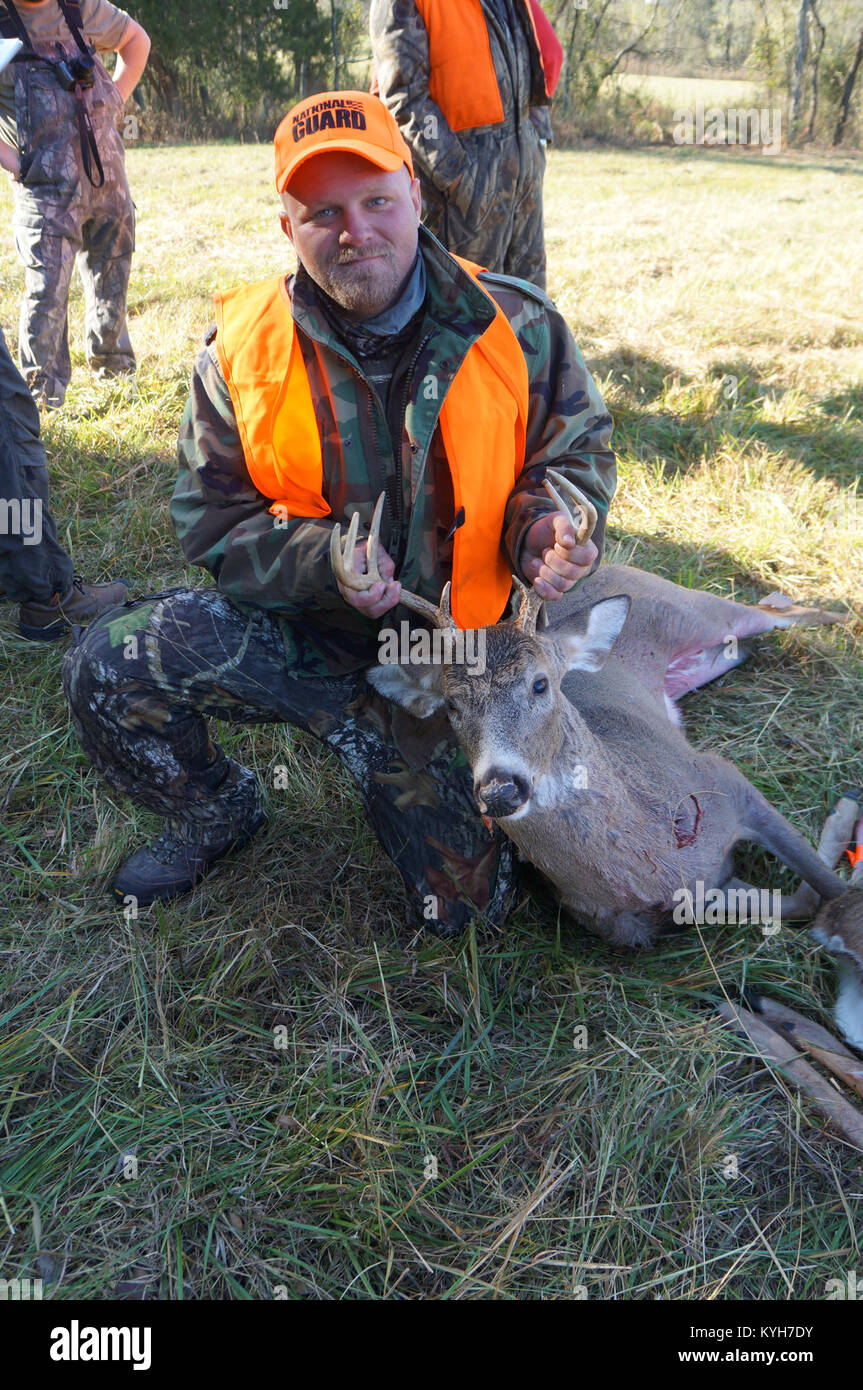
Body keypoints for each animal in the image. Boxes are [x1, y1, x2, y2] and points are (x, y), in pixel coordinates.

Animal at [330, 474, 863, 1046]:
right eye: (452, 705)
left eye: (541, 684)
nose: (500, 789)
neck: (656, 844)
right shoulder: (636, 918)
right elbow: (796, 902)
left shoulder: (724, 776)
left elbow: (830, 894)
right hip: (711, 652)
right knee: (763, 617)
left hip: (697, 608)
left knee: (783, 612)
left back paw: (844, 616)